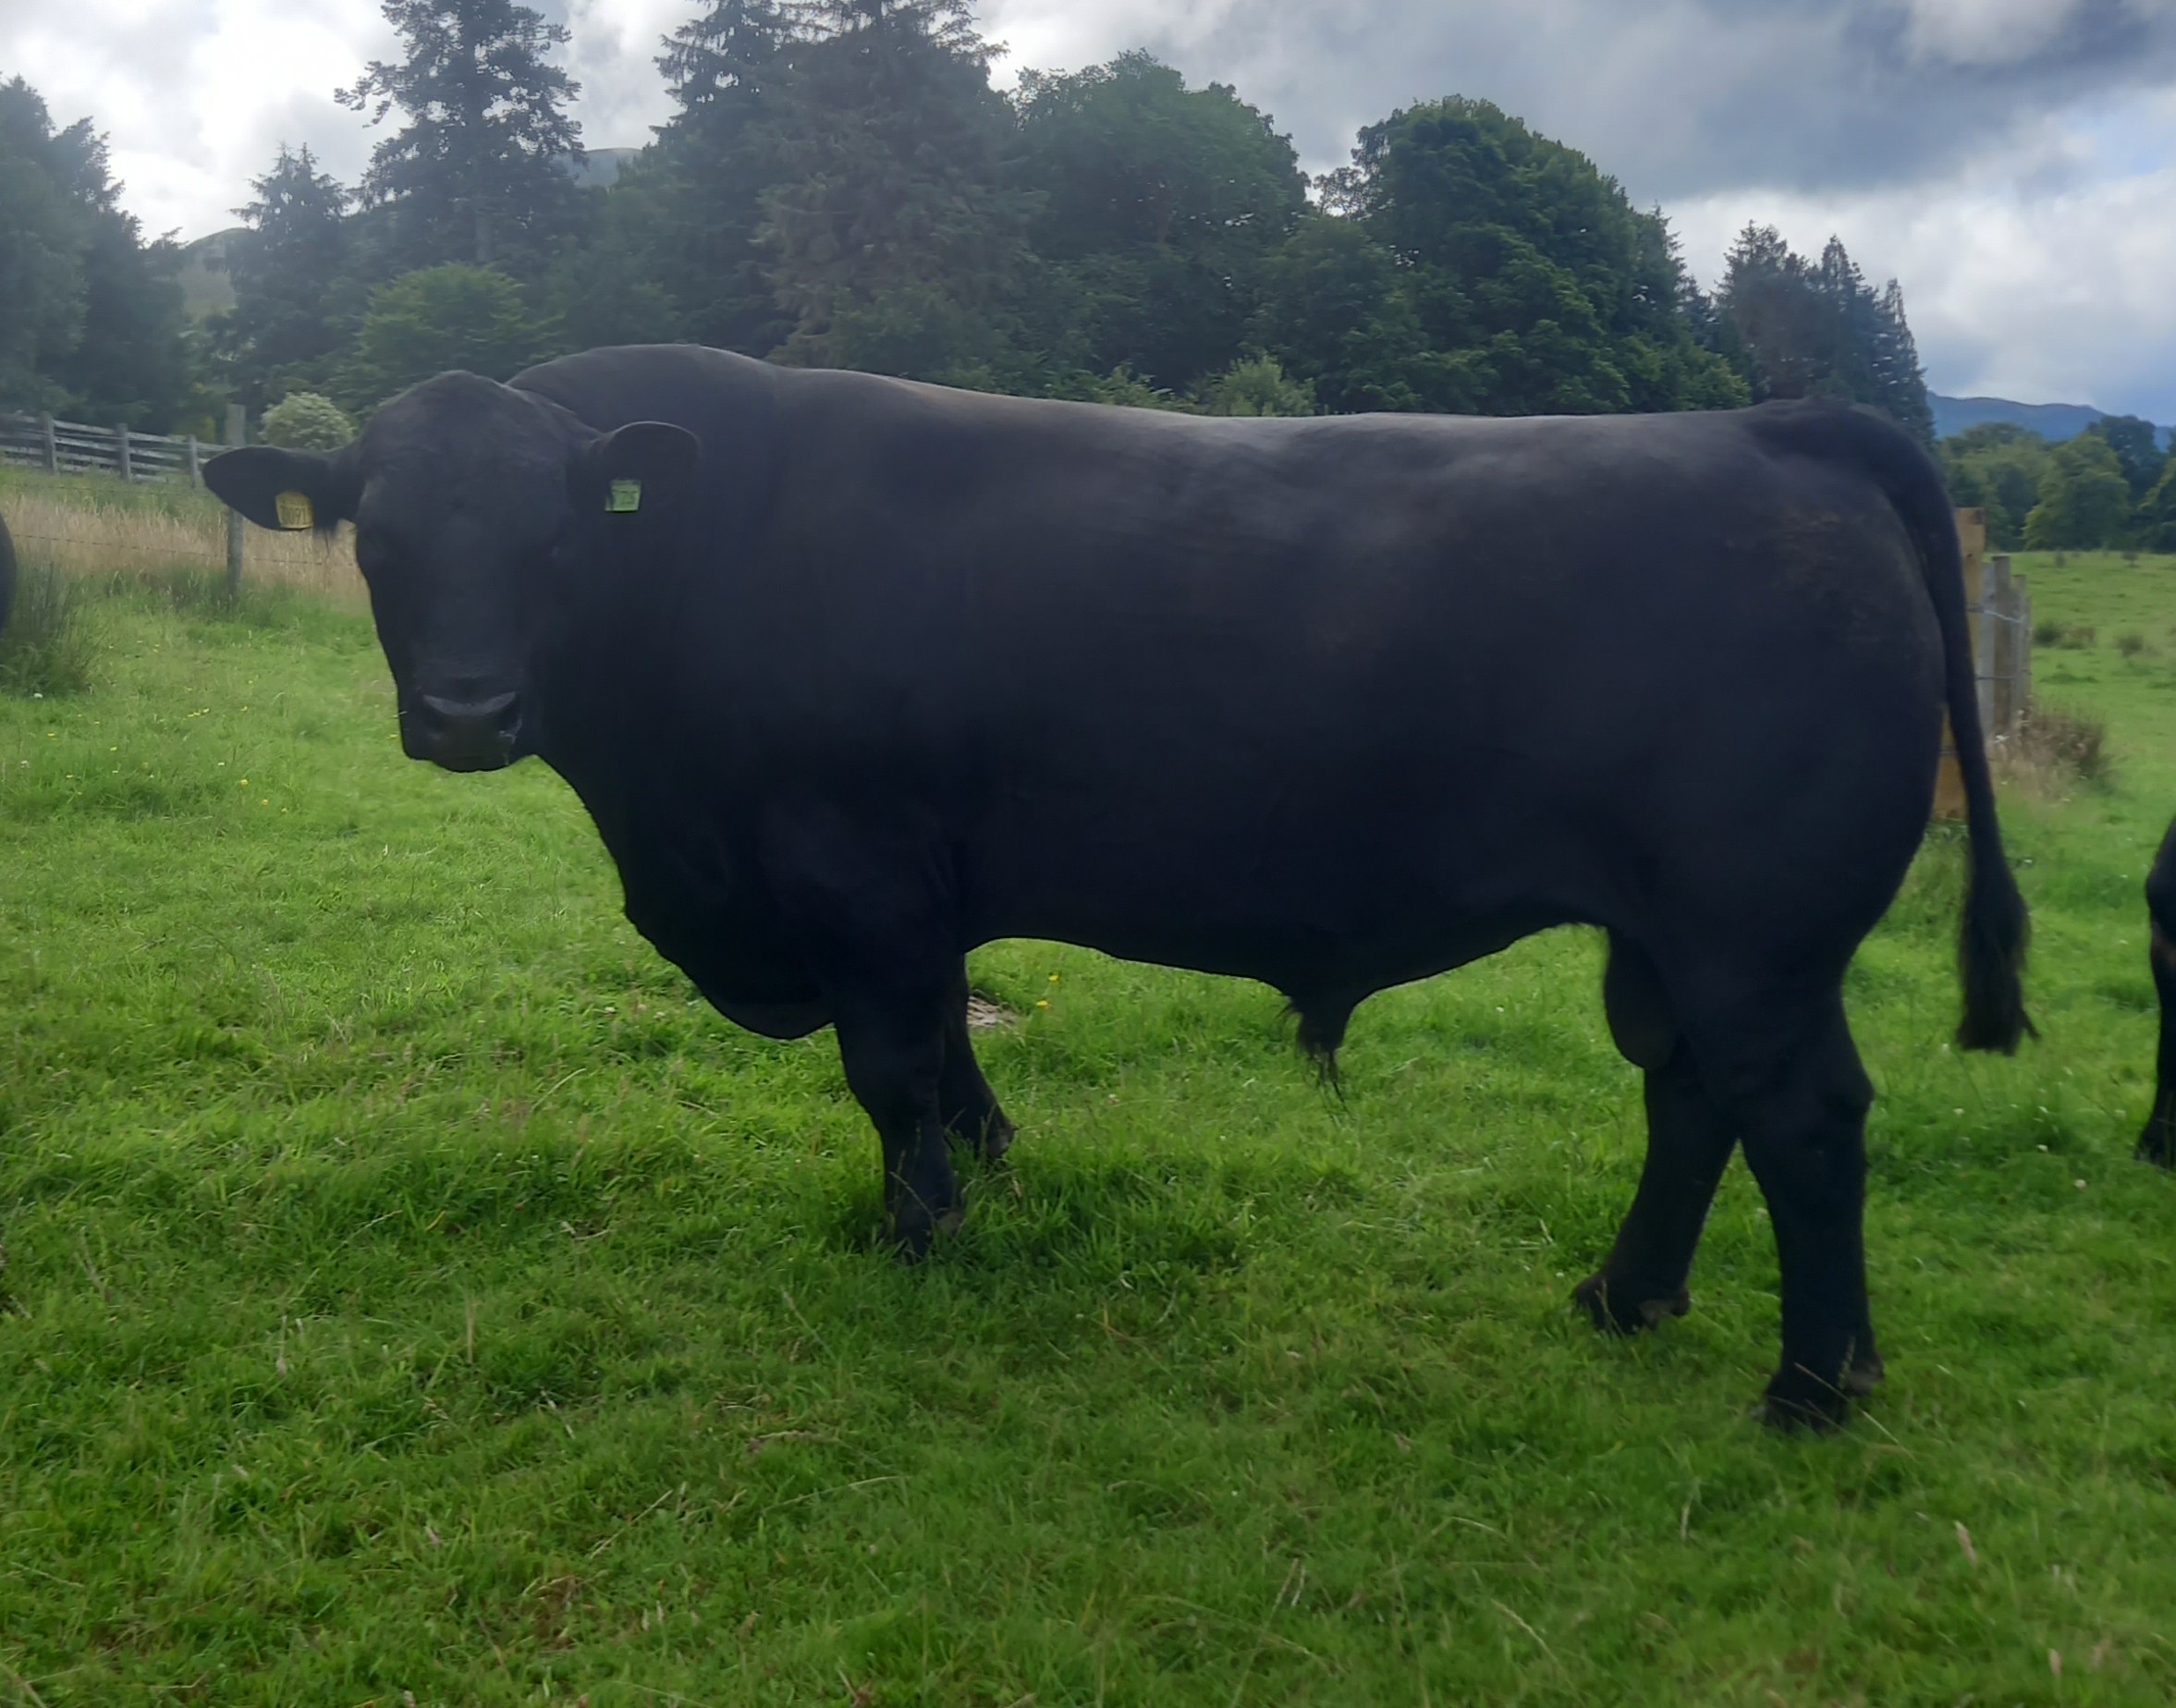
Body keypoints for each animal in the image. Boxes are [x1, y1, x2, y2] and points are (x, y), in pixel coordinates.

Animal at [203, 346, 2030, 1429]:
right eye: (375, 533)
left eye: (555, 536)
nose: (465, 712)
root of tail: (1775, 427)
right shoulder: (922, 887)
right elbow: (950, 1051)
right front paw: (992, 1176)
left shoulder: (852, 866)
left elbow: (890, 1069)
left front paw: (920, 1234)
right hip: (1669, 936)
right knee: (1688, 1096)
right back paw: (1621, 1295)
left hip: (1751, 933)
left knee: (1798, 1118)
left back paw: (1812, 1382)